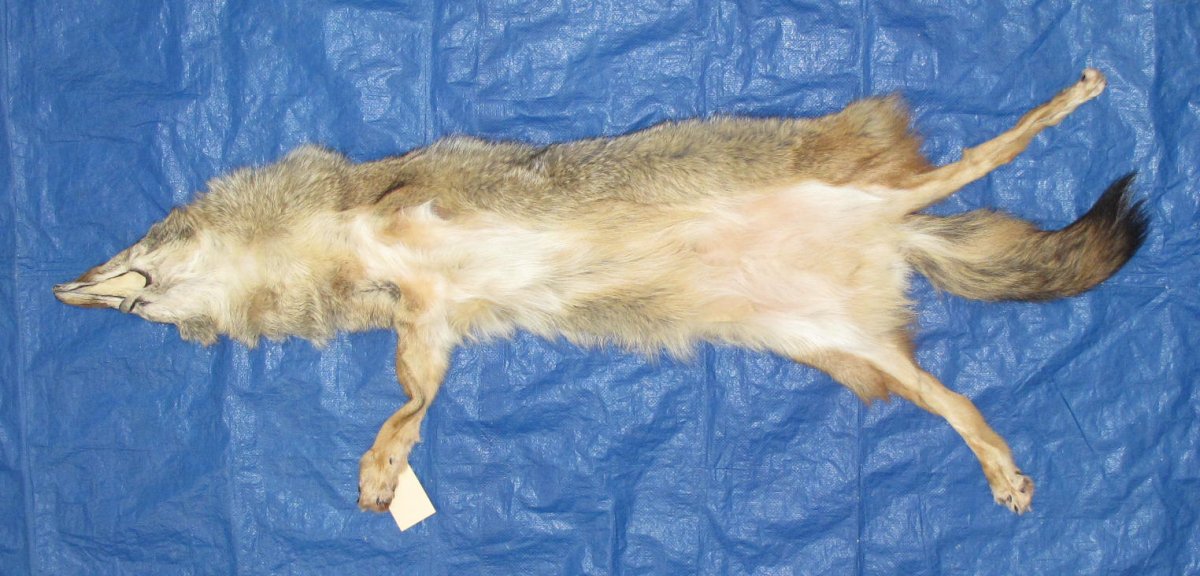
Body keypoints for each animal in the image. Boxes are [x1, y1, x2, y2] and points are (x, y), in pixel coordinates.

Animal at [55, 69, 1145, 515]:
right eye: (133, 300)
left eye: (139, 260)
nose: (73, 290)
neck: (342, 250)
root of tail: (891, 238)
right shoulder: (430, 327)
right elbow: (413, 403)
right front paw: (386, 464)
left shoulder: (412, 222)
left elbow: (412, 242)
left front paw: (380, 466)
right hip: (860, 354)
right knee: (962, 405)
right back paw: (1003, 472)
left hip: (895, 197)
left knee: (992, 153)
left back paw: (1077, 96)